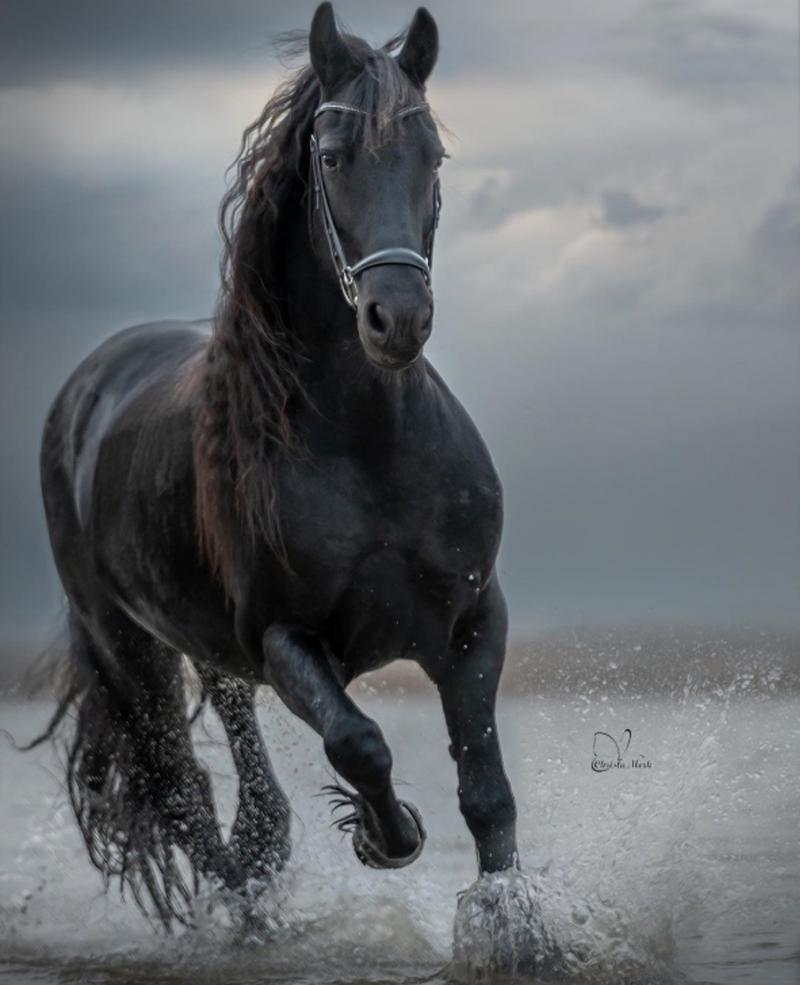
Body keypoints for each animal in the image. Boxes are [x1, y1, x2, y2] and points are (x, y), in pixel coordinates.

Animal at [36, 2, 520, 931]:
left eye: (432, 156)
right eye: (331, 157)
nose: (398, 319)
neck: (370, 448)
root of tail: (86, 387)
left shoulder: (471, 620)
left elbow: (487, 793)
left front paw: (520, 929)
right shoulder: (288, 639)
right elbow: (359, 743)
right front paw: (385, 835)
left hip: (212, 652)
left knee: (246, 785)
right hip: (133, 656)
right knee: (185, 799)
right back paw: (248, 918)